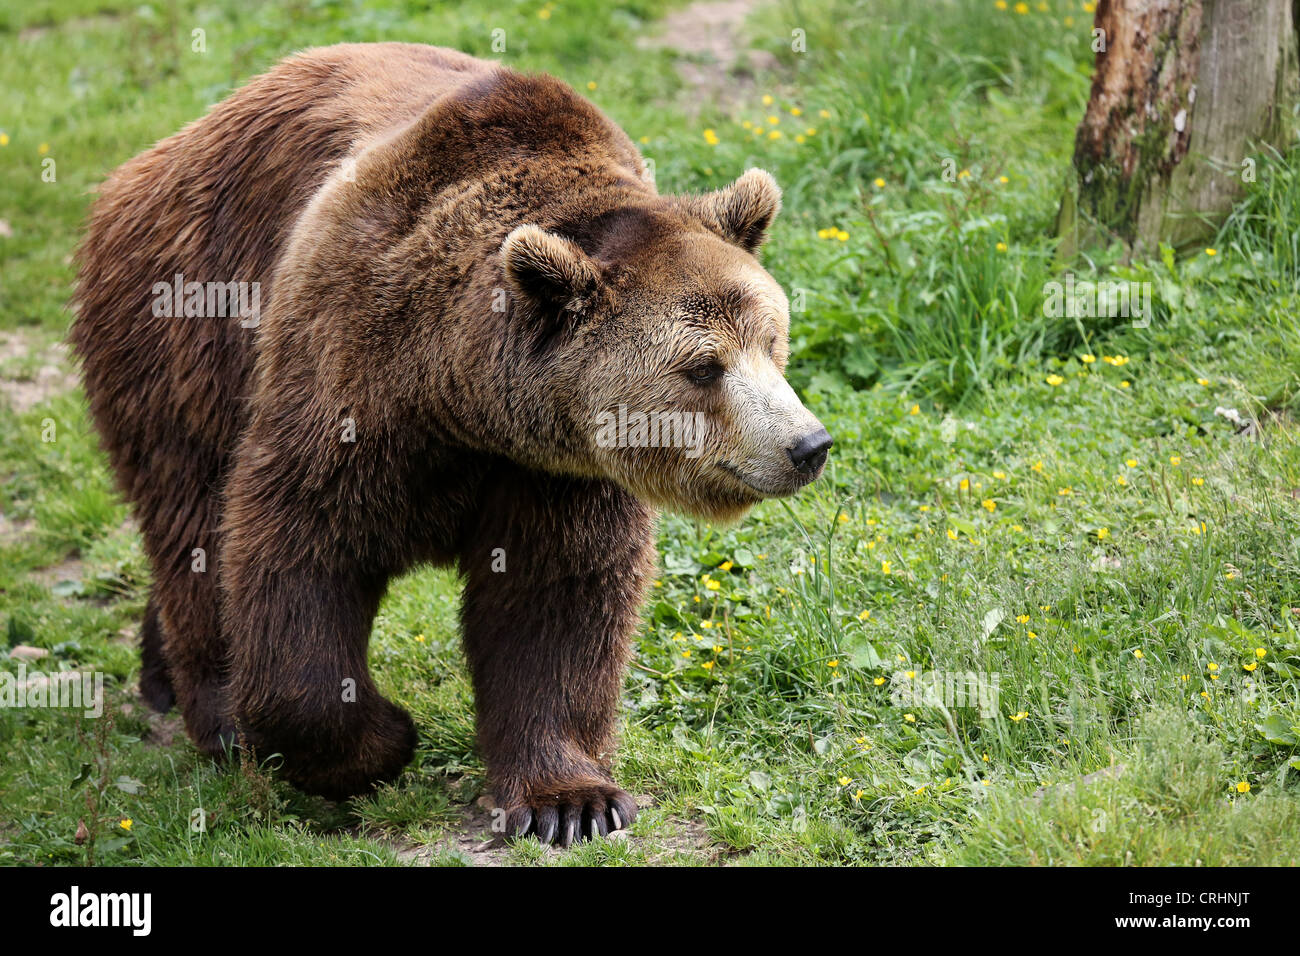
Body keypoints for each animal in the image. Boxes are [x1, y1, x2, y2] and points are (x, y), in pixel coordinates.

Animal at [71, 42, 832, 845]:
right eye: (703, 366)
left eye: (771, 339)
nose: (806, 444)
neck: (458, 398)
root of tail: (153, 159)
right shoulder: (352, 377)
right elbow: (295, 551)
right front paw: (380, 741)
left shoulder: (553, 467)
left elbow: (556, 599)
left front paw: (571, 802)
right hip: (183, 330)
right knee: (190, 518)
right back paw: (217, 714)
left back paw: (159, 673)